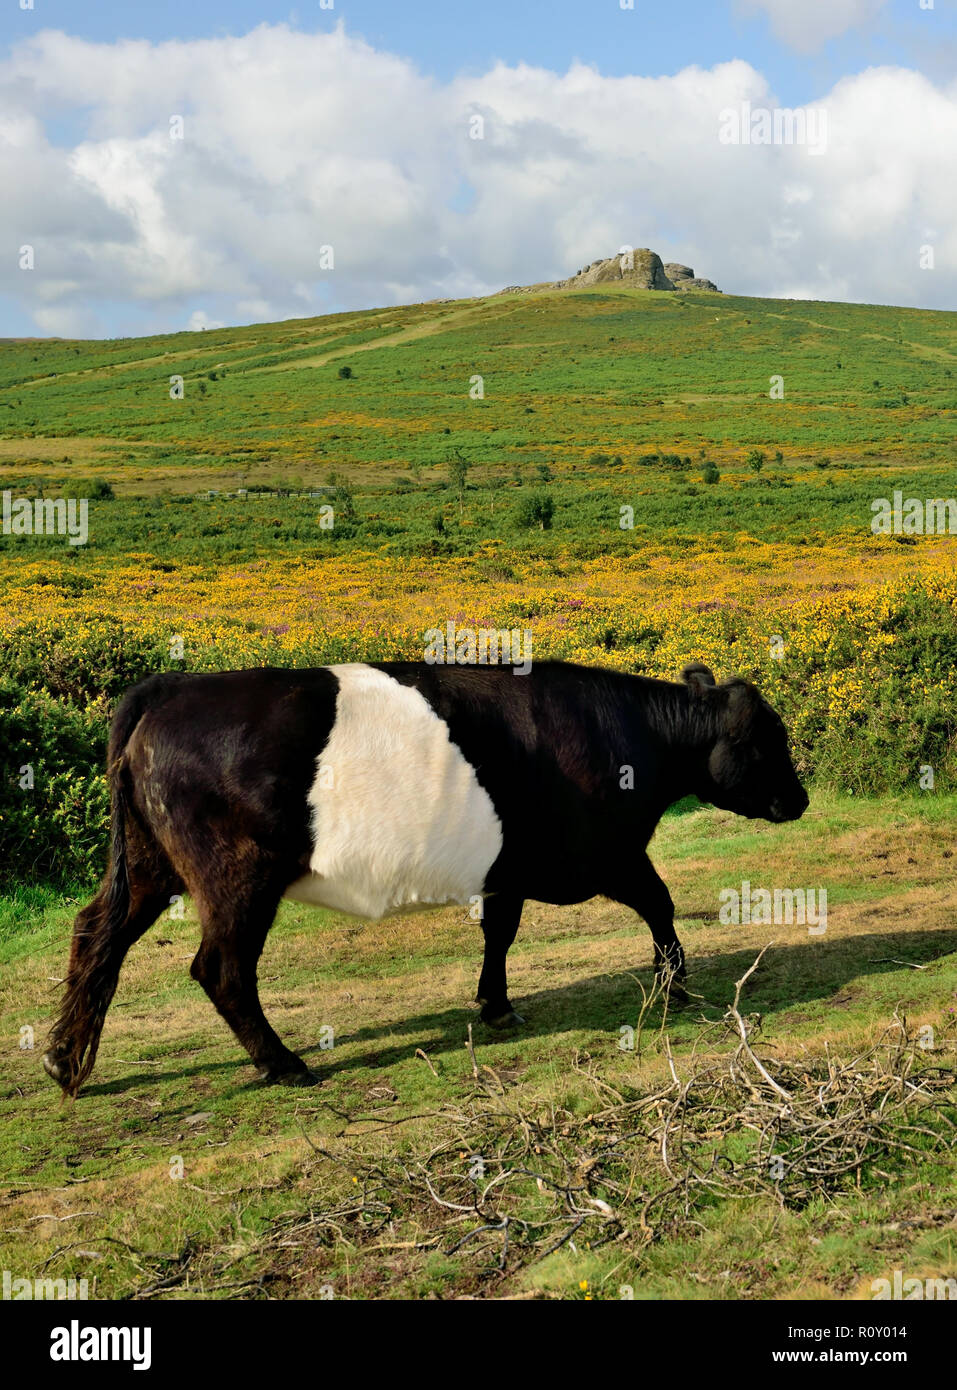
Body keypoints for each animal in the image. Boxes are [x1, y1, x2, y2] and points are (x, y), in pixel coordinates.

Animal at [43, 659, 808, 1096]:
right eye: (767, 739)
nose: (799, 799)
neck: (635, 734)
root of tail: (170, 687)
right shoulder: (605, 855)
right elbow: (659, 902)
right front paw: (674, 983)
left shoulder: (509, 869)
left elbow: (500, 931)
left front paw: (495, 1004)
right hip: (237, 878)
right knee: (221, 970)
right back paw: (284, 1064)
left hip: (151, 867)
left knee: (96, 935)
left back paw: (62, 1059)